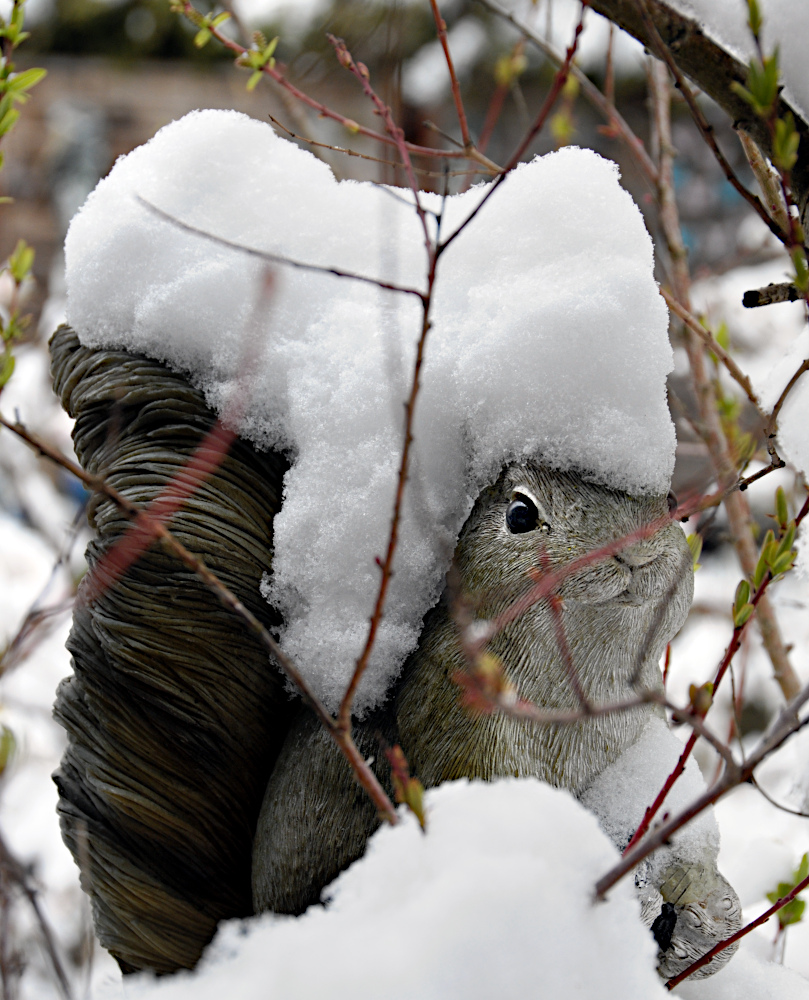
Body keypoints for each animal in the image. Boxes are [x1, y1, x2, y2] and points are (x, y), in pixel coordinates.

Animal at [50, 322, 741, 981]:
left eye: (672, 504)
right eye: (520, 514)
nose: (636, 553)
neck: (581, 694)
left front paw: (704, 913)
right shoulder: (461, 743)